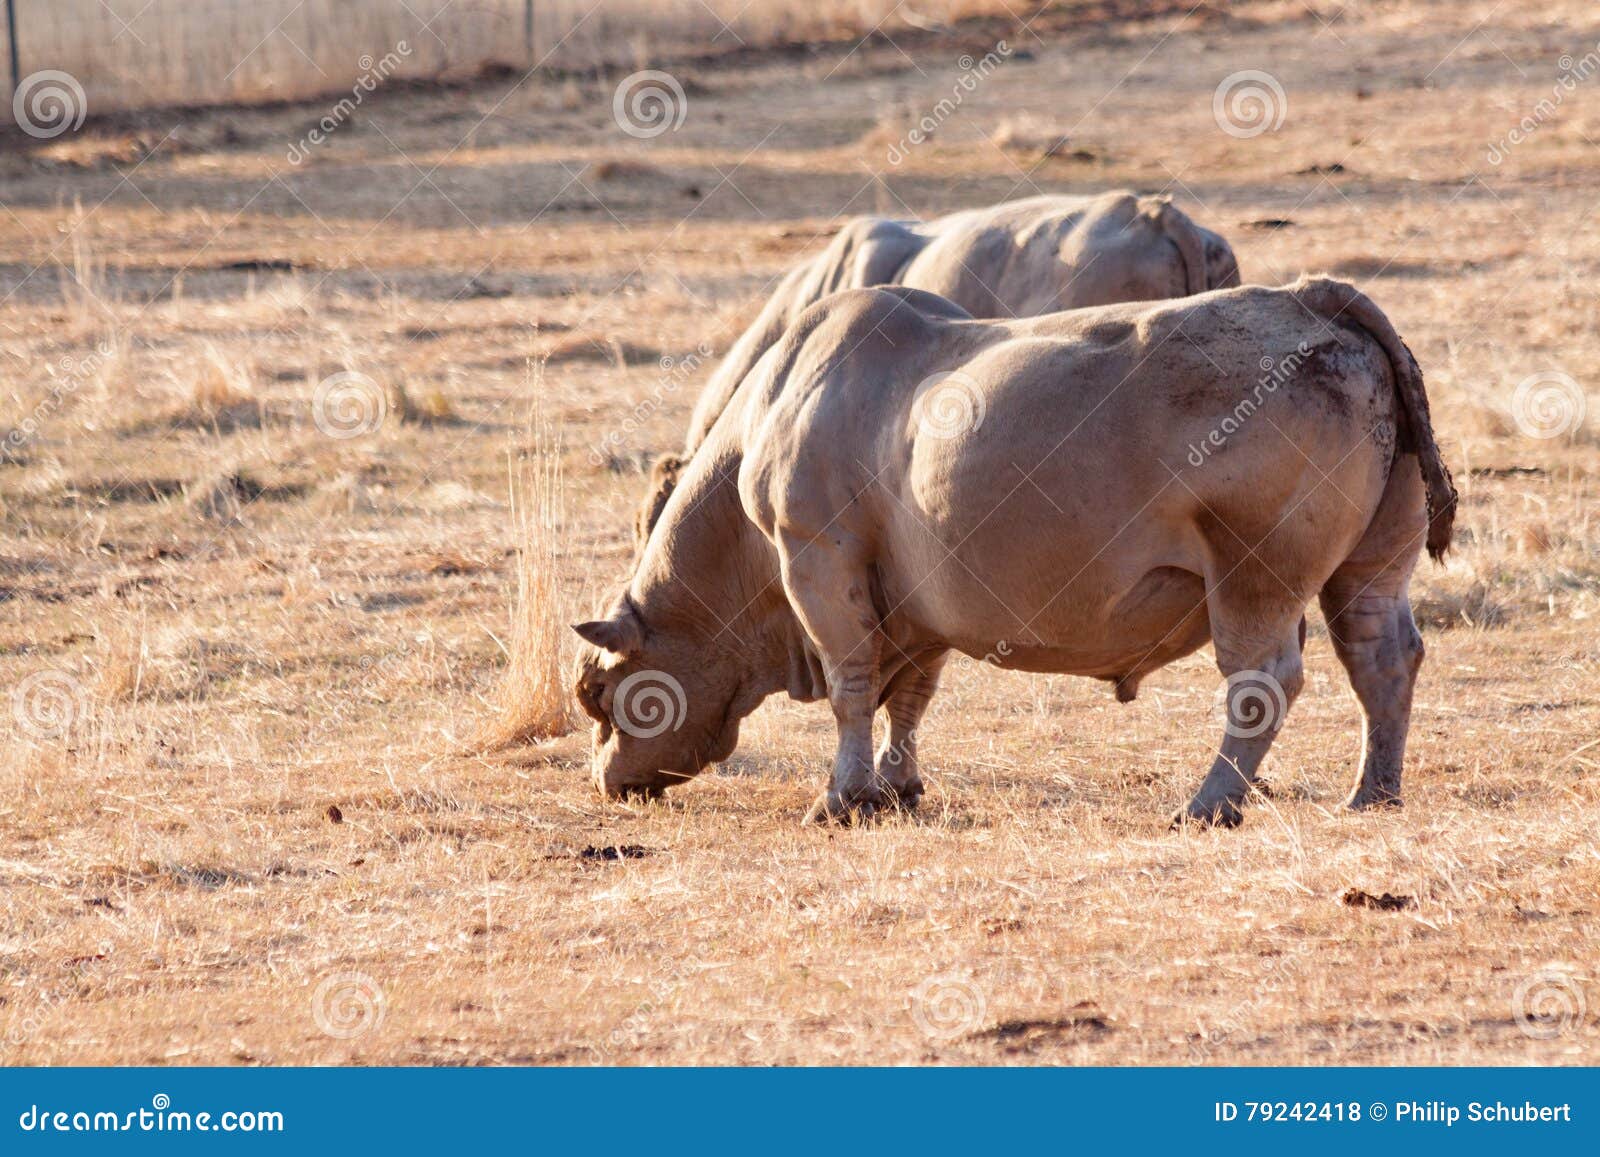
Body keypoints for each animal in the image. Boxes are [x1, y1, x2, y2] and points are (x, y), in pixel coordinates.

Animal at [576, 277, 1455, 829]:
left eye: (601, 697)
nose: (606, 782)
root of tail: (1311, 299)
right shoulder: (918, 604)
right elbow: (911, 696)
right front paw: (897, 784)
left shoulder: (818, 566)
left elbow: (852, 690)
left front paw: (843, 795)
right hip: (1369, 570)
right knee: (1382, 659)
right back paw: (1373, 792)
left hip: (1252, 579)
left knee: (1262, 684)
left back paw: (1210, 801)